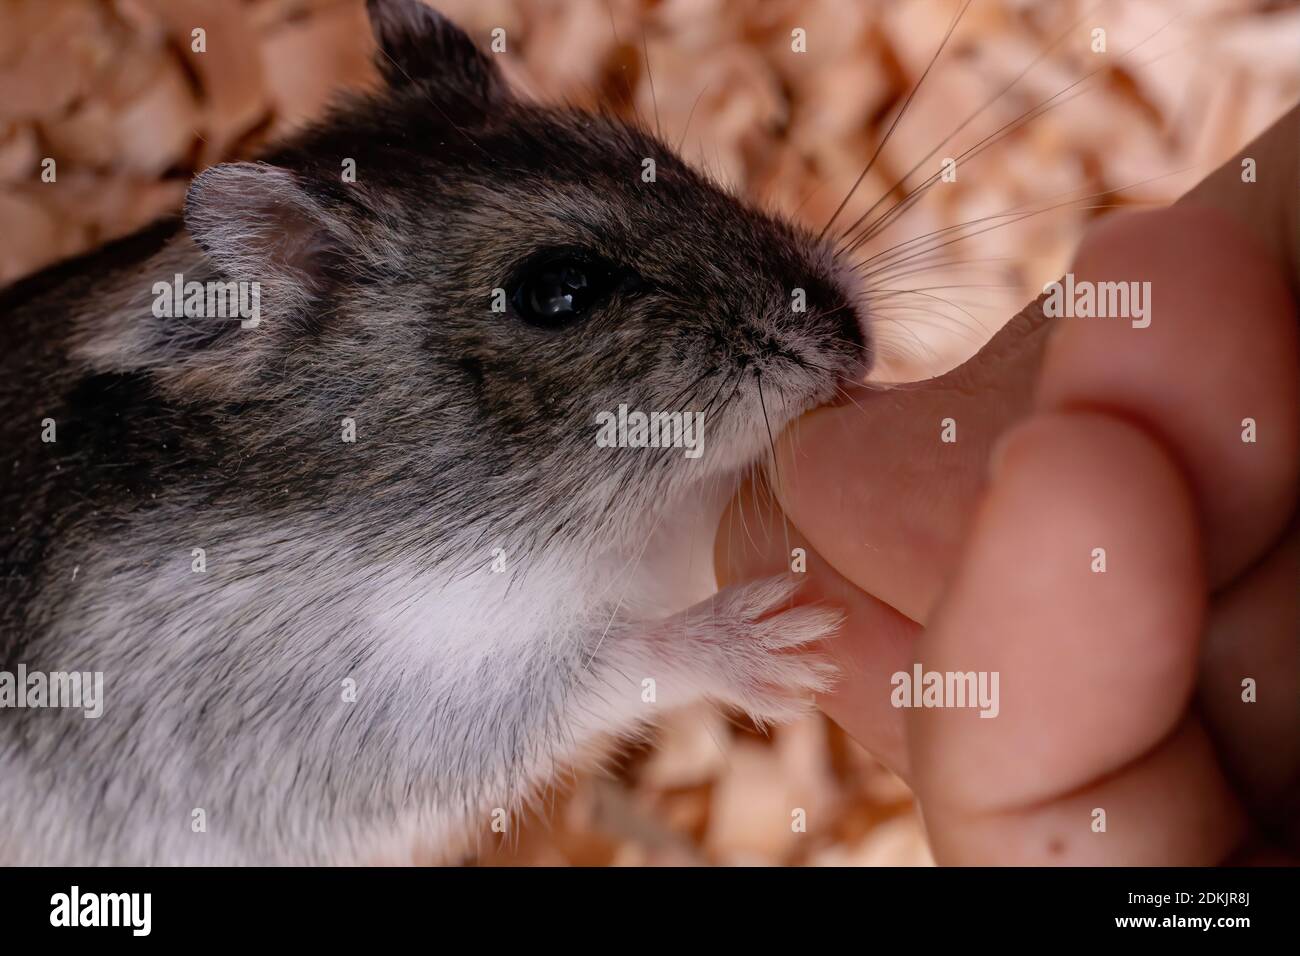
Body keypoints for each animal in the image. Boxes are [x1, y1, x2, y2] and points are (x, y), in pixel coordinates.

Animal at [0, 0, 870, 864]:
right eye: (558, 290)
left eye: (660, 158)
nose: (861, 343)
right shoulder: (363, 712)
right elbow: (601, 665)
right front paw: (785, 644)